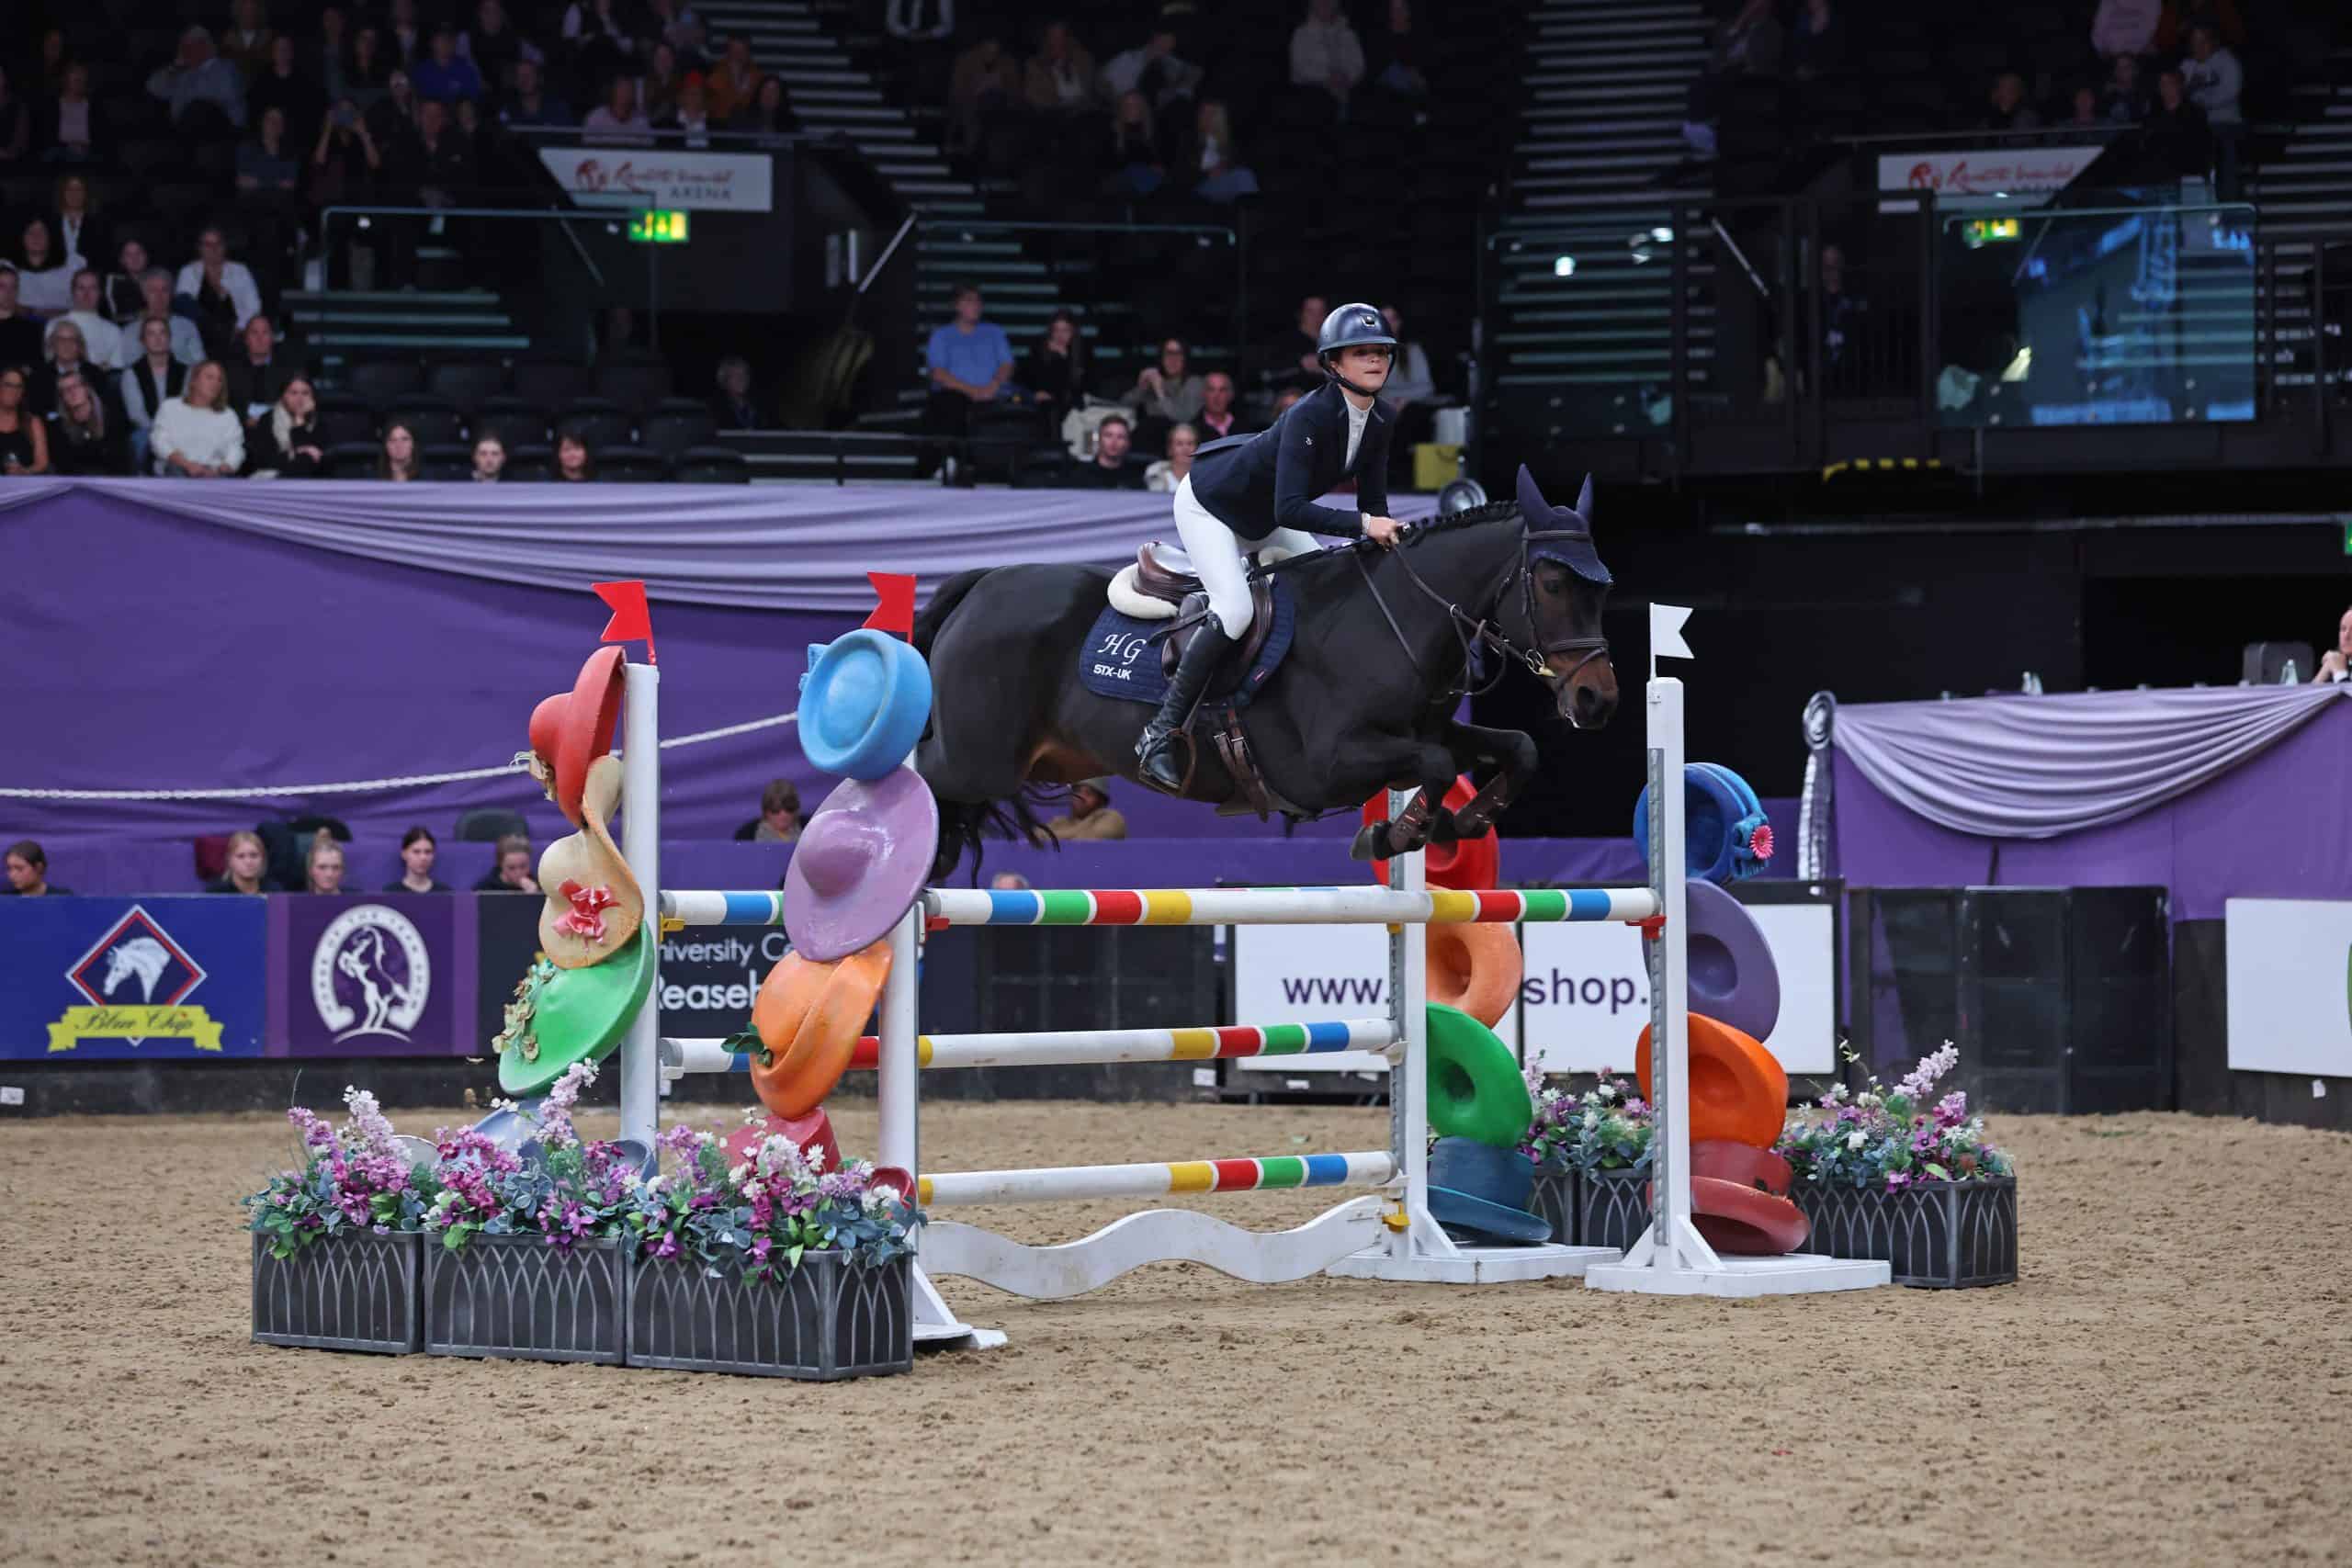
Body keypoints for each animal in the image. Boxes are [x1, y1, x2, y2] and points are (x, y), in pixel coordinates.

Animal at [913, 468, 1618, 879]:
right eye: (1553, 583)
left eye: (1604, 588)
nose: (1598, 700)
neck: (1397, 617)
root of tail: (982, 583)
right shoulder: (1329, 764)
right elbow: (1438, 767)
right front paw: (1395, 833)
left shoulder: (1429, 731)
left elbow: (1515, 749)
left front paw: (1461, 823)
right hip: (979, 760)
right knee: (920, 776)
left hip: (1043, 760)